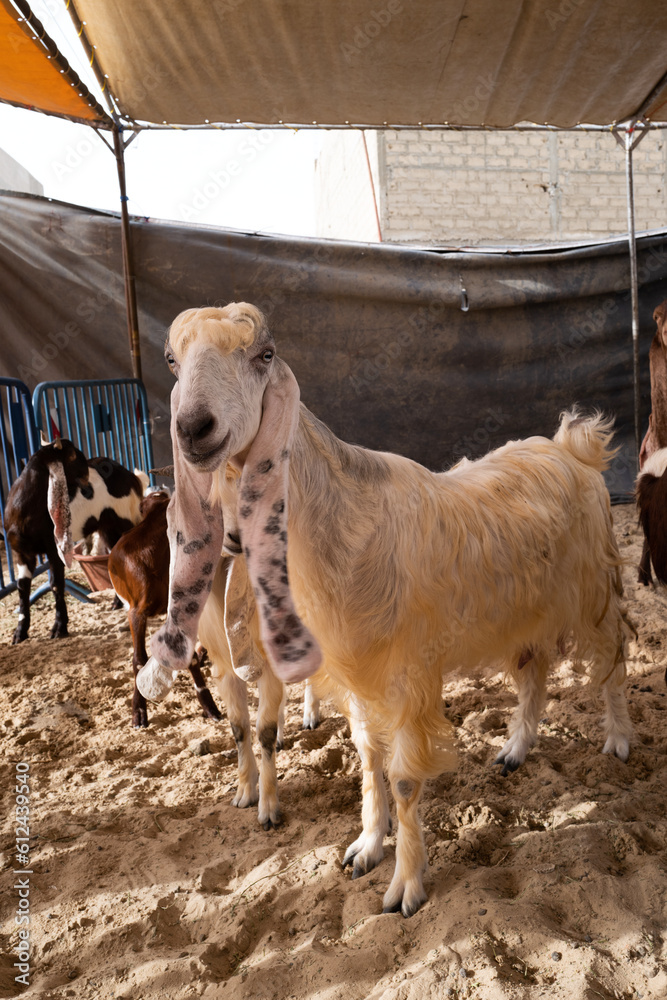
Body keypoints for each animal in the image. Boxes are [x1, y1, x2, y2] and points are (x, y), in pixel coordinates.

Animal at [5, 439, 145, 644]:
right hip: (107, 529)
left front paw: (59, 628)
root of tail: (131, 476)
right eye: (74, 456)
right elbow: (22, 589)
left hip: (126, 519)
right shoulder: (22, 553)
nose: (87, 483)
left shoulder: (54, 548)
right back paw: (117, 603)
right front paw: (19, 633)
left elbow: (56, 585)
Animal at [137, 303, 630, 917]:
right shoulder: (358, 671)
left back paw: (618, 740)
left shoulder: (411, 672)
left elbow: (403, 780)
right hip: (522, 611)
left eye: (264, 355)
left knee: (614, 661)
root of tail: (570, 445)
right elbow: (368, 759)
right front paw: (368, 846)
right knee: (533, 676)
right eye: (171, 360)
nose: (194, 428)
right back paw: (515, 749)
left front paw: (405, 888)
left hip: (594, 590)